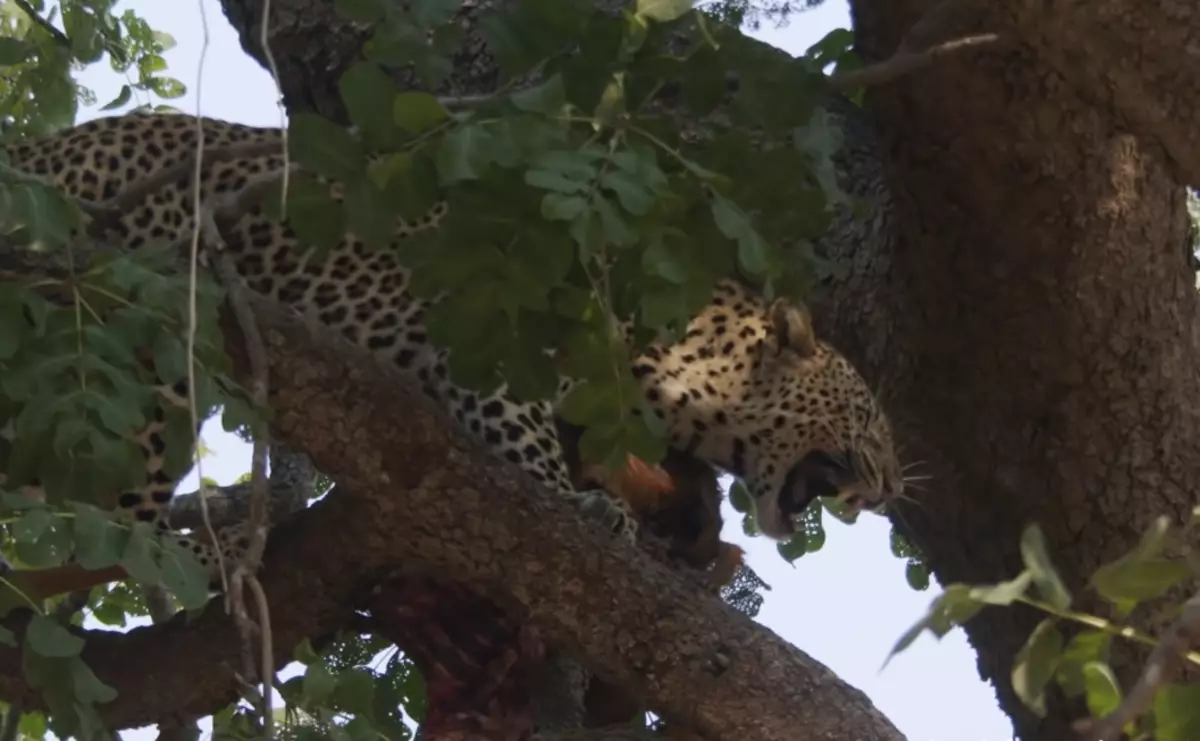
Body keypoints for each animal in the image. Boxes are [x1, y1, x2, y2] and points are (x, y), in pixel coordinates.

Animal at [0, 112, 902, 587]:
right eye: (871, 422)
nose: (894, 487)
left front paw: (679, 521)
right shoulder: (490, 352)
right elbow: (527, 441)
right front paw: (586, 508)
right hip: (137, 343)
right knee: (114, 511)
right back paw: (201, 558)